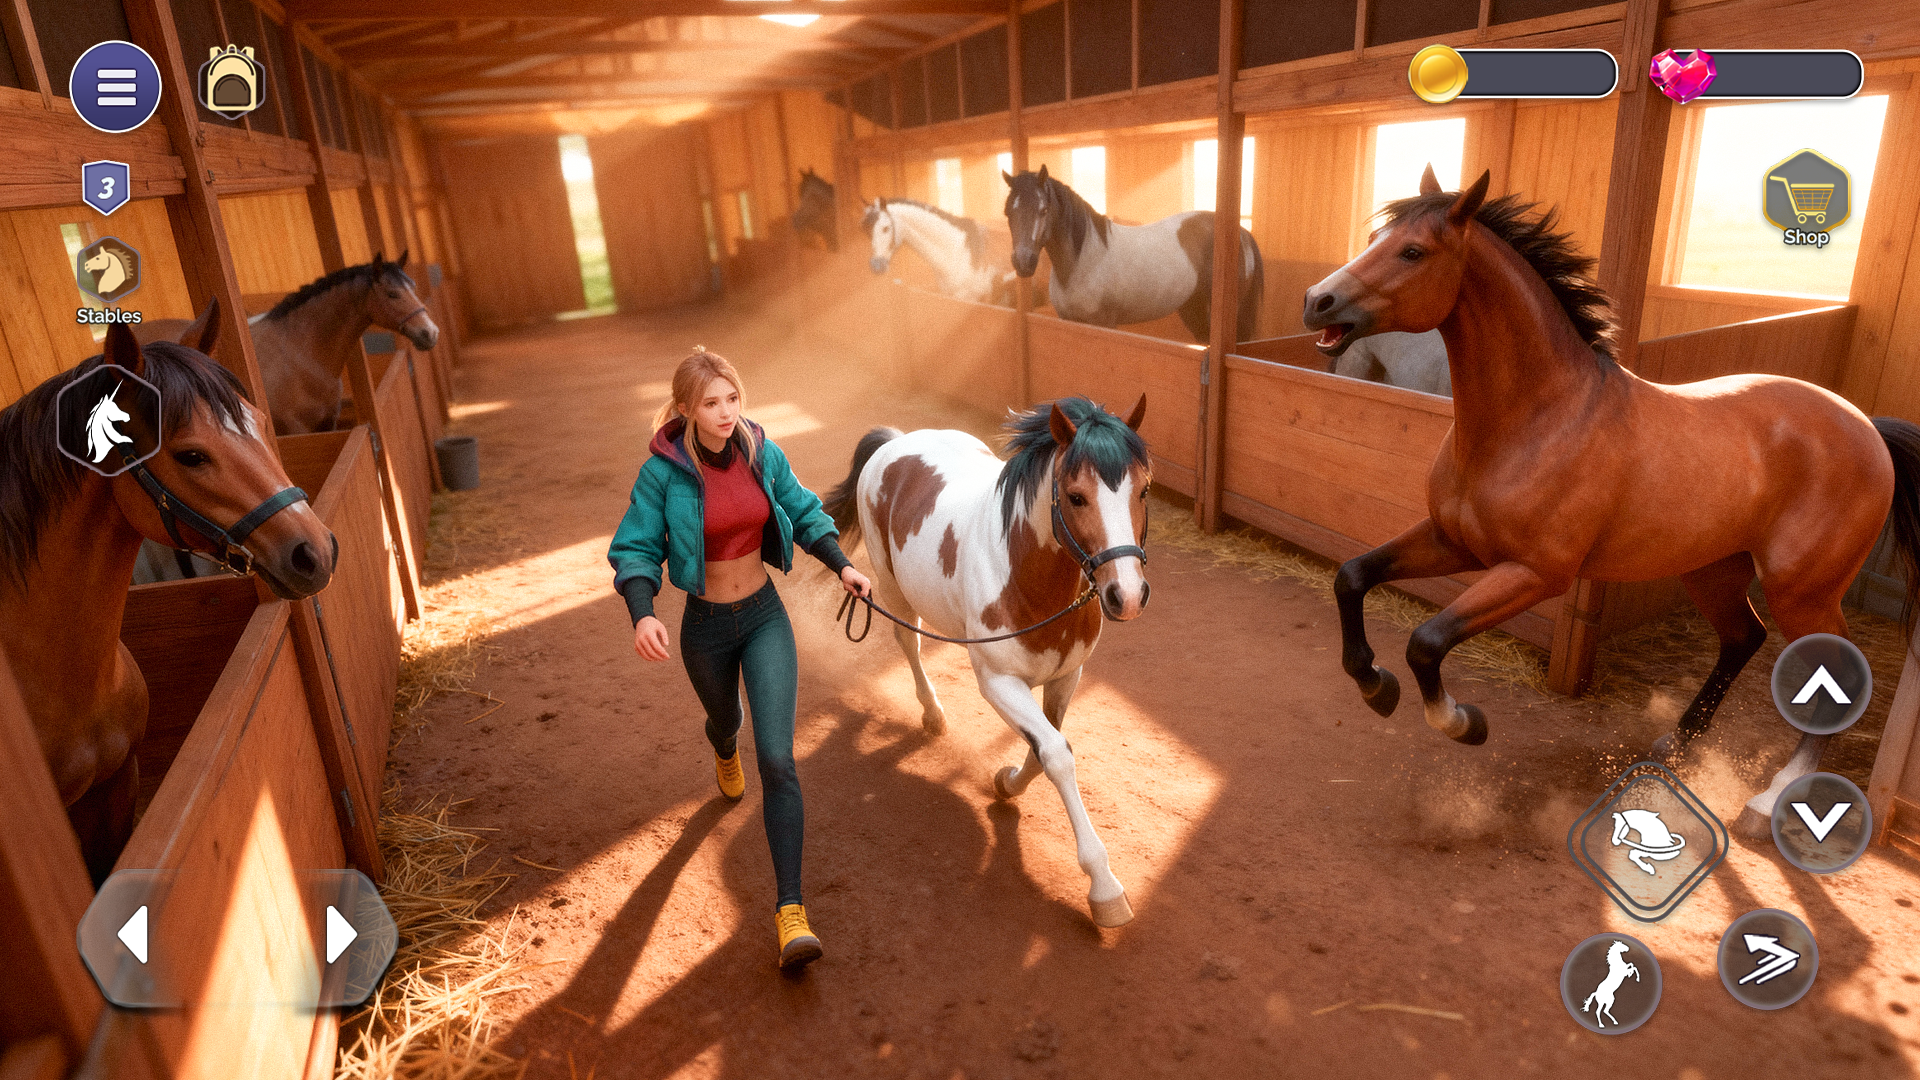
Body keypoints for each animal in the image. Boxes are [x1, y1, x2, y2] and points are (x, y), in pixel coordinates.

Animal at [136, 252, 438, 434]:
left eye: (412, 286)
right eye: (392, 294)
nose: (430, 333)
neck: (301, 356)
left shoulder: (328, 426)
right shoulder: (297, 431)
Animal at [821, 396, 1153, 927]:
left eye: (1144, 488)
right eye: (1076, 496)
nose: (1126, 594)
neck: (1026, 577)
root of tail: (895, 442)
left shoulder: (1067, 676)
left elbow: (1046, 750)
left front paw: (1006, 783)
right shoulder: (998, 683)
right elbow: (1057, 755)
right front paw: (1104, 888)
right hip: (891, 591)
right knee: (908, 644)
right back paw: (932, 715)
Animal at [1003, 165, 1263, 344]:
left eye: (1043, 210)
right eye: (1008, 212)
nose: (1023, 262)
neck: (1081, 263)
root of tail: (1240, 232)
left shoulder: (1105, 323)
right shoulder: (1067, 320)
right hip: (1194, 310)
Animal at [1305, 165, 1920, 836]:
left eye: (1412, 251)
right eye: (1376, 239)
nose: (1316, 302)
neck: (1538, 419)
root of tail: (1866, 427)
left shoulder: (1535, 574)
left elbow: (1427, 641)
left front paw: (1464, 724)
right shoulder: (1451, 542)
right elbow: (1352, 576)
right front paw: (1374, 685)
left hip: (1801, 591)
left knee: (1838, 669)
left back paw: (1769, 799)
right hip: (1711, 569)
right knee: (1742, 639)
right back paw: (1676, 746)